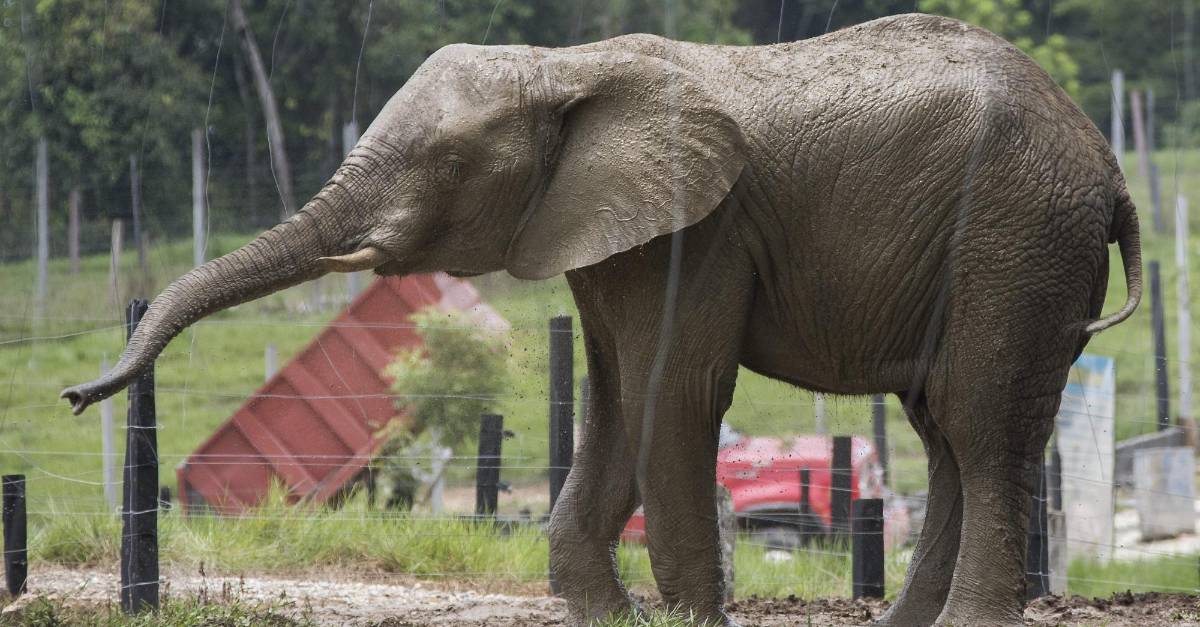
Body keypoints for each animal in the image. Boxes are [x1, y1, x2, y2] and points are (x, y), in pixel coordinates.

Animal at [62, 13, 1141, 626]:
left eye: (446, 163)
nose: (77, 395)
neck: (563, 67)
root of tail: (1111, 168)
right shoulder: (606, 232)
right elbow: (616, 393)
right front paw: (609, 614)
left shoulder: (699, 231)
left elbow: (677, 390)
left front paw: (692, 619)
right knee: (947, 429)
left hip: (1014, 234)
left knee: (977, 423)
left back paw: (962, 623)